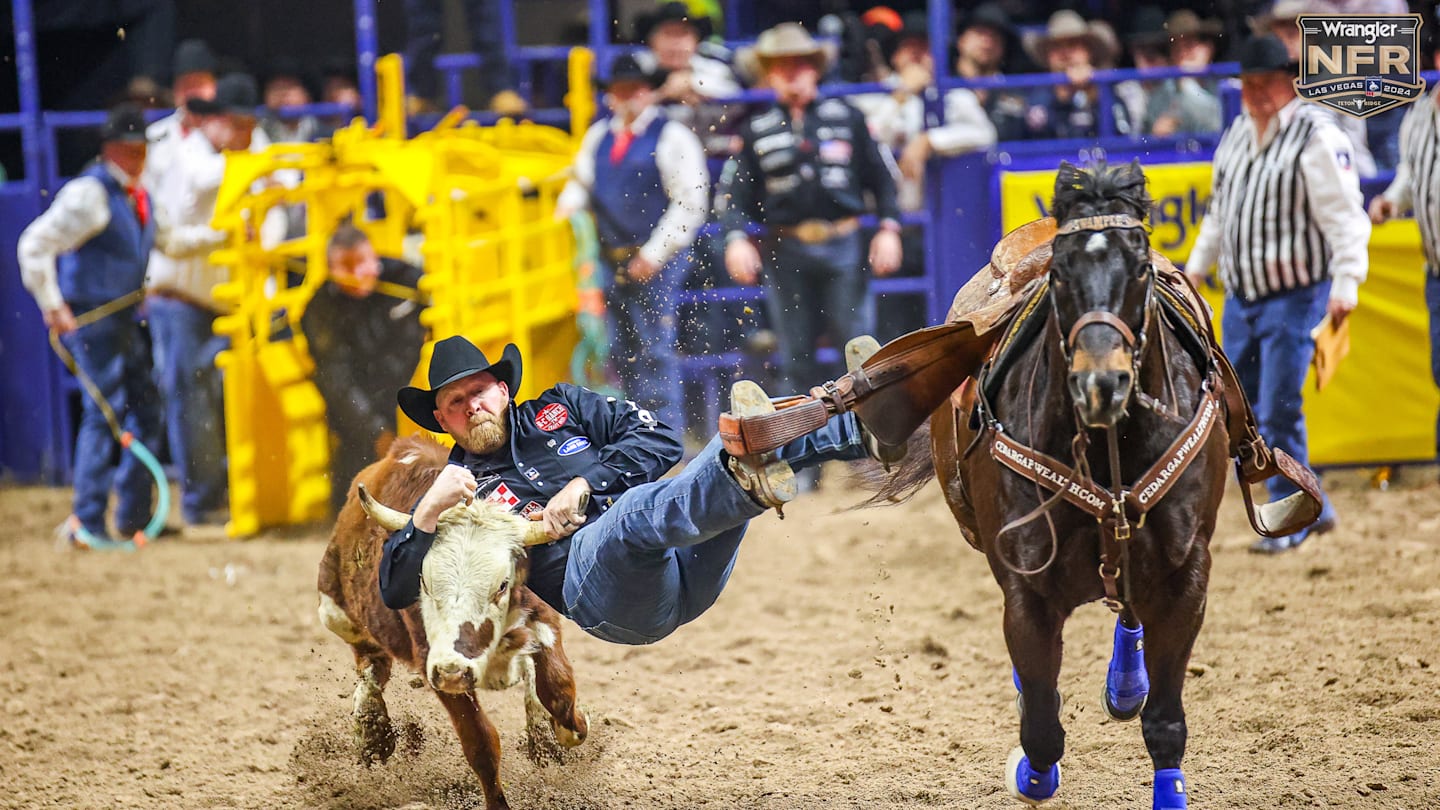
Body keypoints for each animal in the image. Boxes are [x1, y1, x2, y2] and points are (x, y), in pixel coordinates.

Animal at [876, 160, 1227, 809]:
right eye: (1061, 276)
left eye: (1140, 269)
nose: (1101, 382)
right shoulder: (1027, 588)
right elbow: (1040, 722)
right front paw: (1032, 774)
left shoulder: (1187, 574)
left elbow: (1165, 721)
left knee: (1128, 612)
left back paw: (1125, 685)